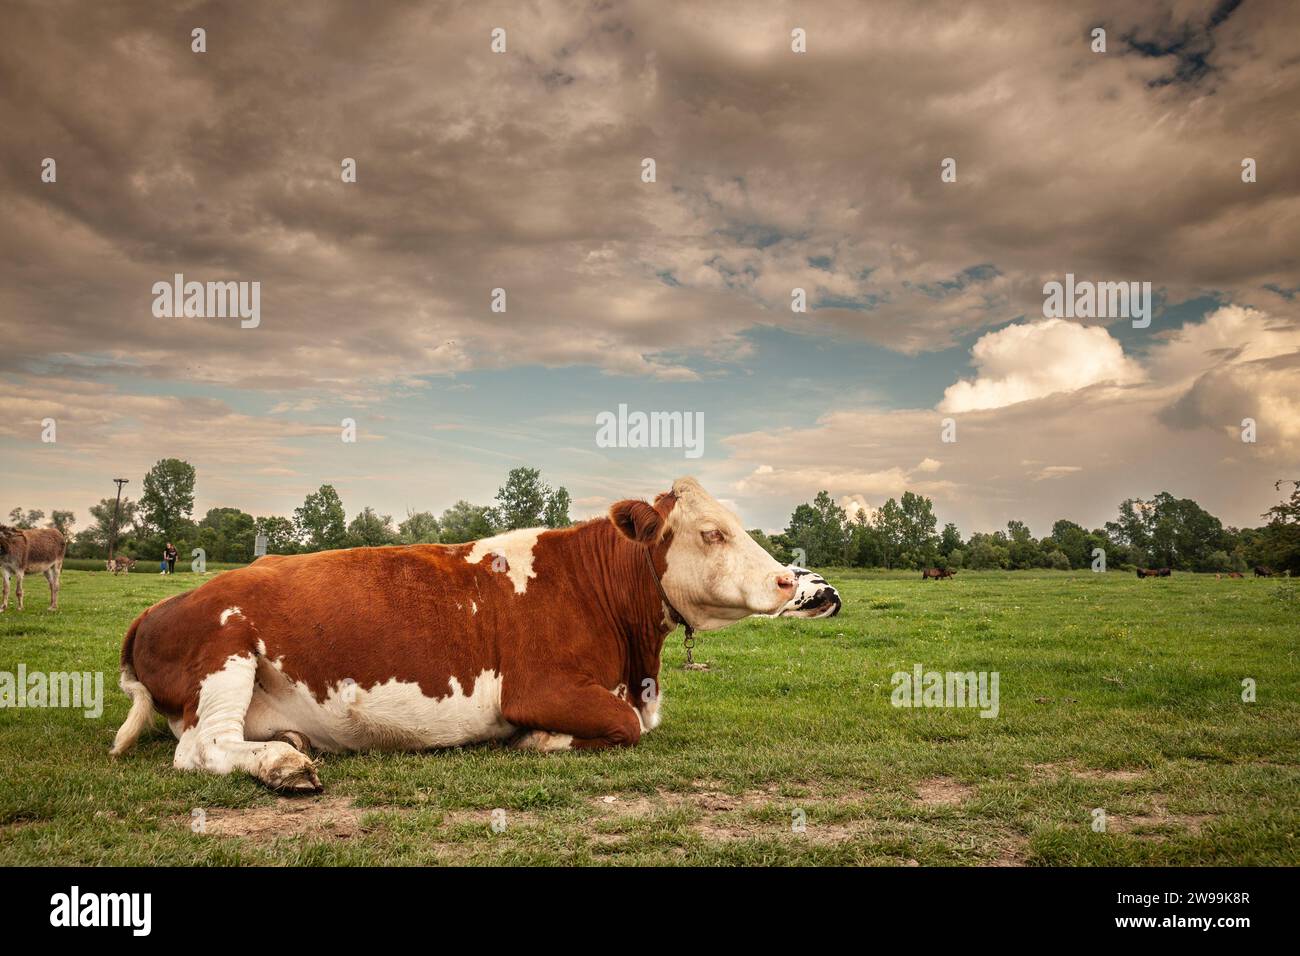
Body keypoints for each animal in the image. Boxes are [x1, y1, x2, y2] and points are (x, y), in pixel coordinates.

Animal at [109, 478, 842, 792]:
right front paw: (537, 740)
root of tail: (159, 606)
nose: (789, 582)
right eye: (712, 532)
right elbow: (624, 727)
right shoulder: (540, 687)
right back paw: (284, 766)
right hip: (226, 653)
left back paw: (290, 744)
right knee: (203, 749)